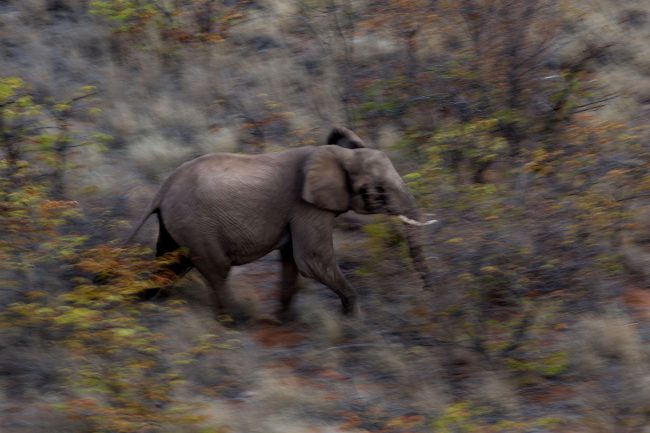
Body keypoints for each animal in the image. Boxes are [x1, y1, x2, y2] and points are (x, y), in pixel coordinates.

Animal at [128, 127, 435, 321]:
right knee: (216, 270)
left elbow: (292, 261)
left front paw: (284, 320)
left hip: (177, 225)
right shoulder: (306, 206)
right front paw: (353, 321)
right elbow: (312, 260)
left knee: (171, 263)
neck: (338, 154)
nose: (426, 292)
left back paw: (149, 300)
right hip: (195, 226)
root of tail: (162, 190)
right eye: (378, 190)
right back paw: (234, 321)